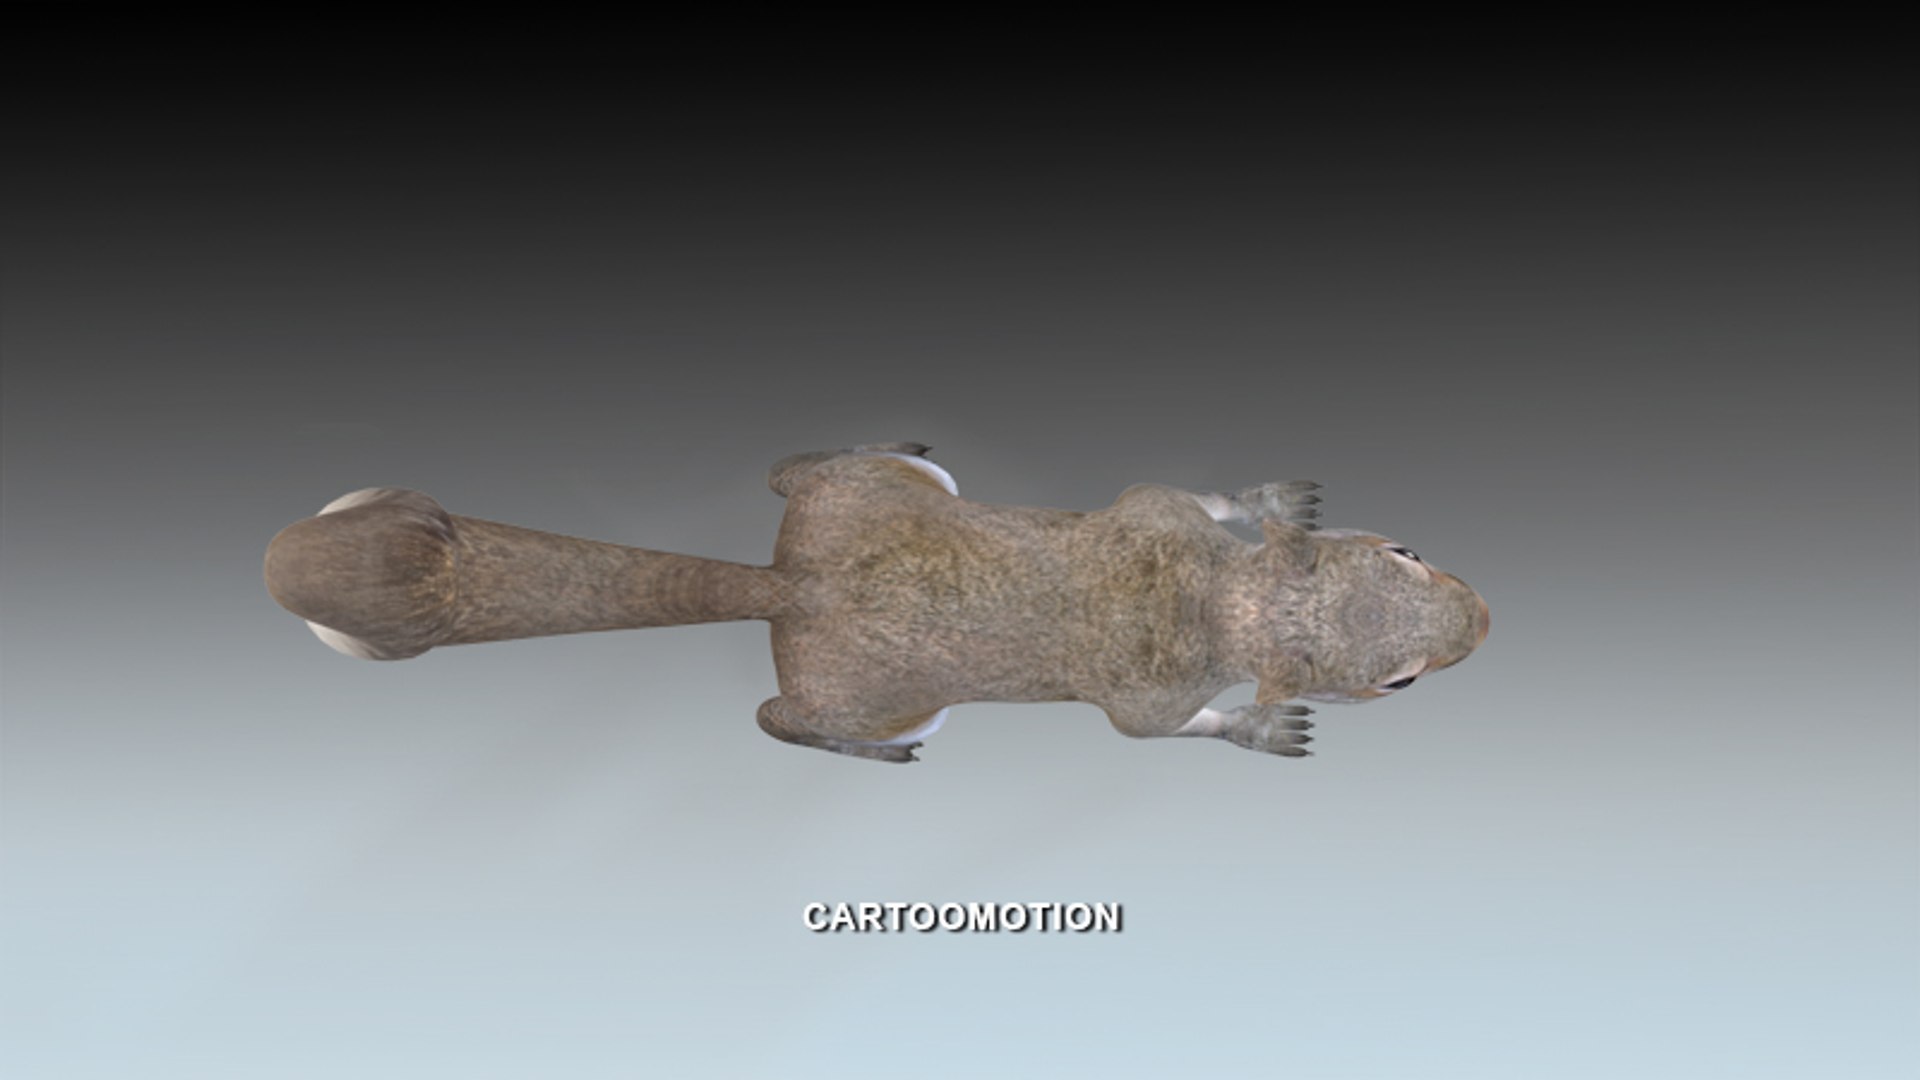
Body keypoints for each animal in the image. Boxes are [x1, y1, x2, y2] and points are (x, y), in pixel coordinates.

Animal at [263, 443, 1488, 762]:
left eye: (1411, 551)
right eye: (1400, 681)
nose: (1482, 621)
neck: (1209, 606)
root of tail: (789, 583)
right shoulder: (1145, 672)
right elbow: (1174, 726)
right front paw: (1269, 727)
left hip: (854, 491)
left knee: (795, 469)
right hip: (848, 684)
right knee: (783, 721)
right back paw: (875, 748)